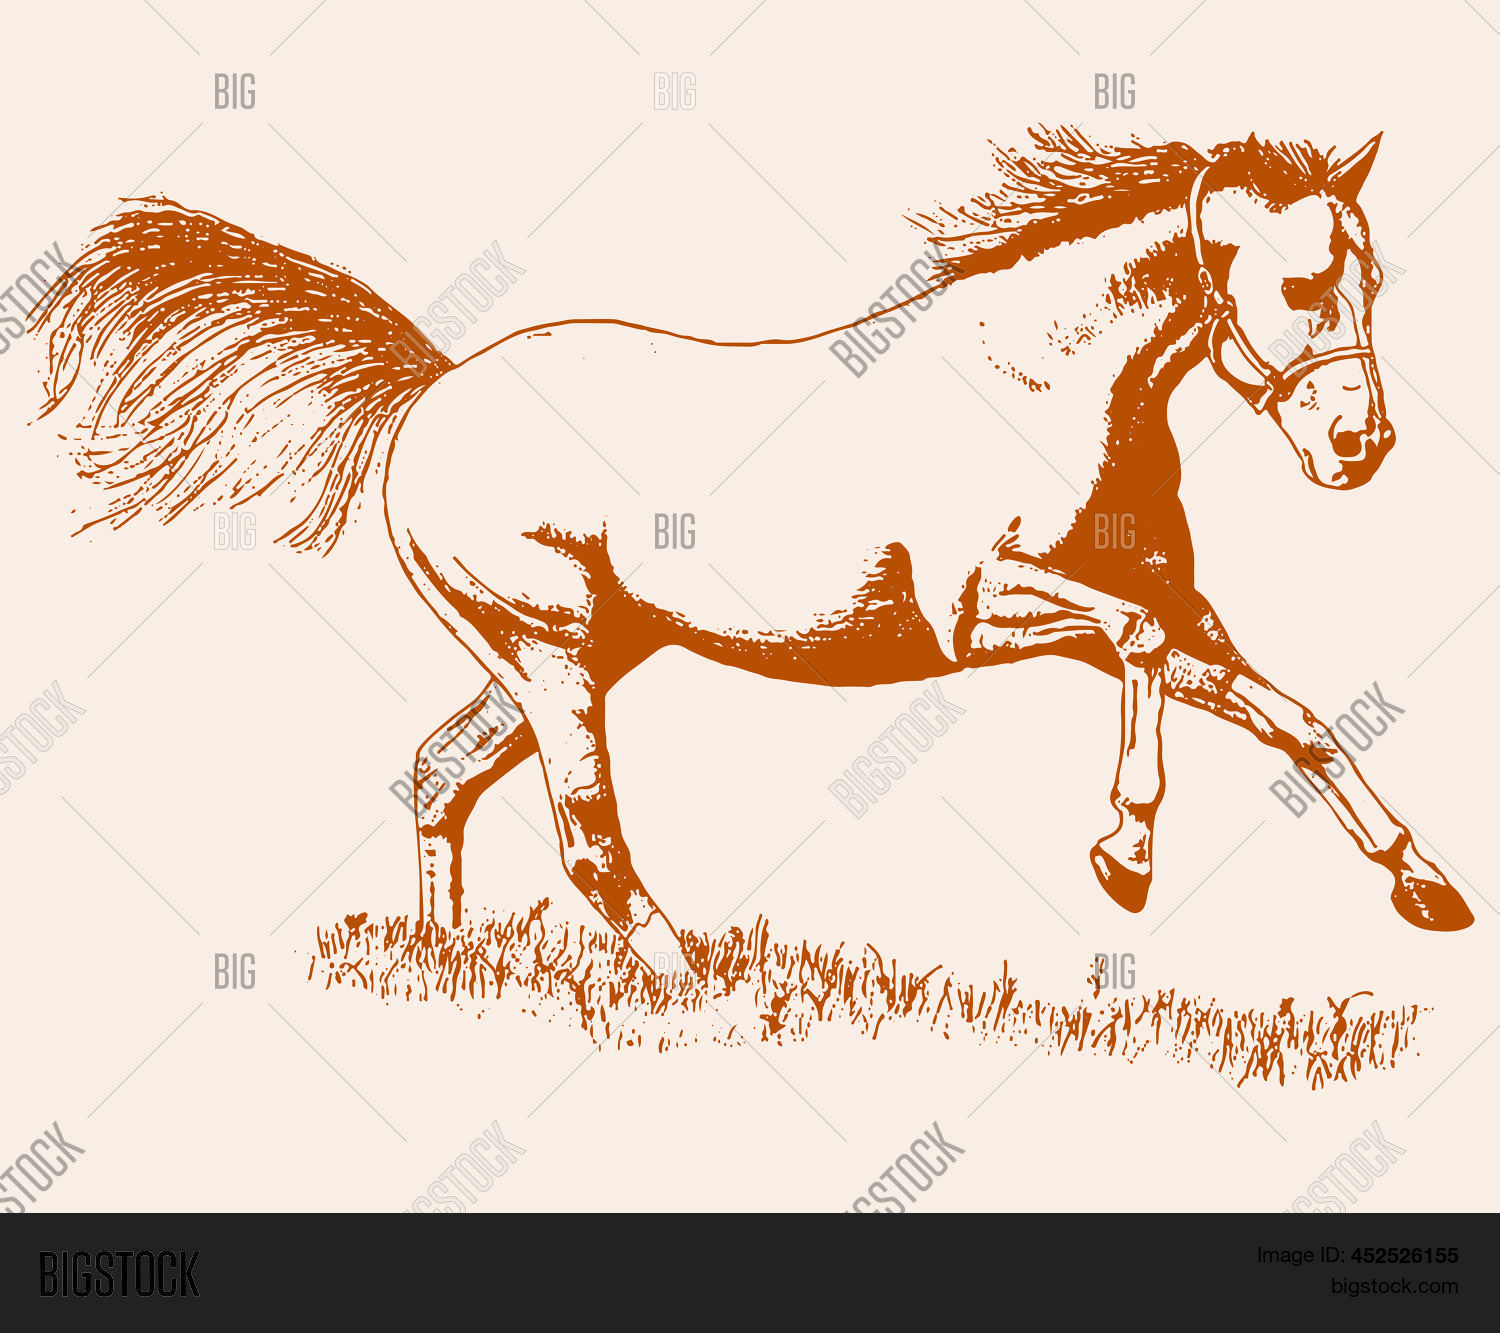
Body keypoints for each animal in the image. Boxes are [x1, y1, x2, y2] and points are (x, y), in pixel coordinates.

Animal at [33, 127, 1475, 994]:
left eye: (1374, 281)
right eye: (1302, 287)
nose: (1362, 448)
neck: (1056, 388)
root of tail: (431, 388)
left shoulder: (1183, 611)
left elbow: (1289, 715)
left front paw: (1428, 889)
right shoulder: (985, 611)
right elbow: (1140, 650)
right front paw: (1122, 856)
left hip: (568, 653)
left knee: (439, 775)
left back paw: (449, 970)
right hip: (551, 652)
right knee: (588, 843)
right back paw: (695, 996)